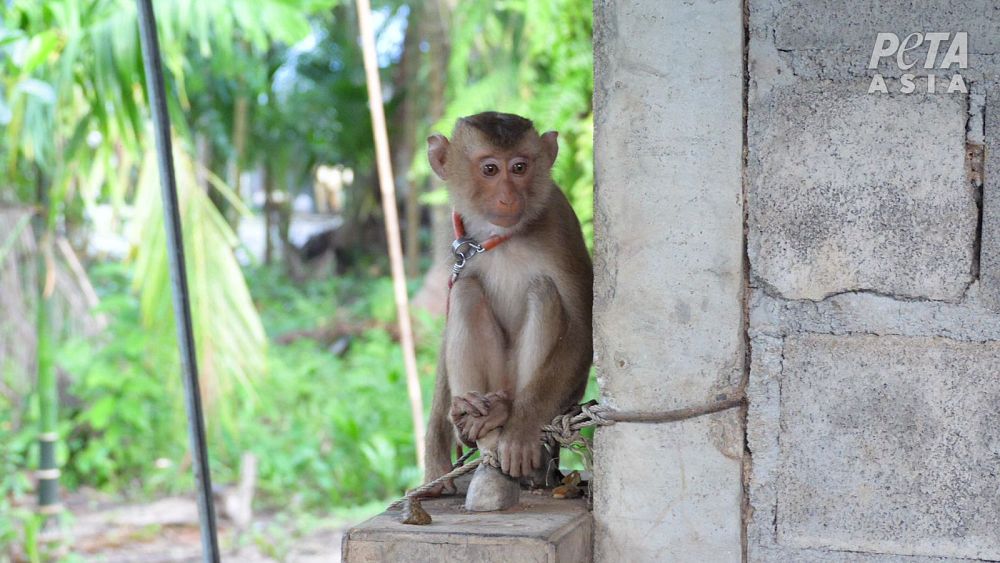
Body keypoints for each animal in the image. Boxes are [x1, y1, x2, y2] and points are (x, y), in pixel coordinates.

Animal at [422, 112, 593, 495]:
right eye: (490, 169)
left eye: (518, 167)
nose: (508, 197)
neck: (500, 237)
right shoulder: (458, 239)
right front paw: (435, 452)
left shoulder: (560, 225)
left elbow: (581, 330)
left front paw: (520, 429)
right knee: (466, 291)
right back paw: (472, 422)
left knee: (544, 292)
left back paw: (512, 429)